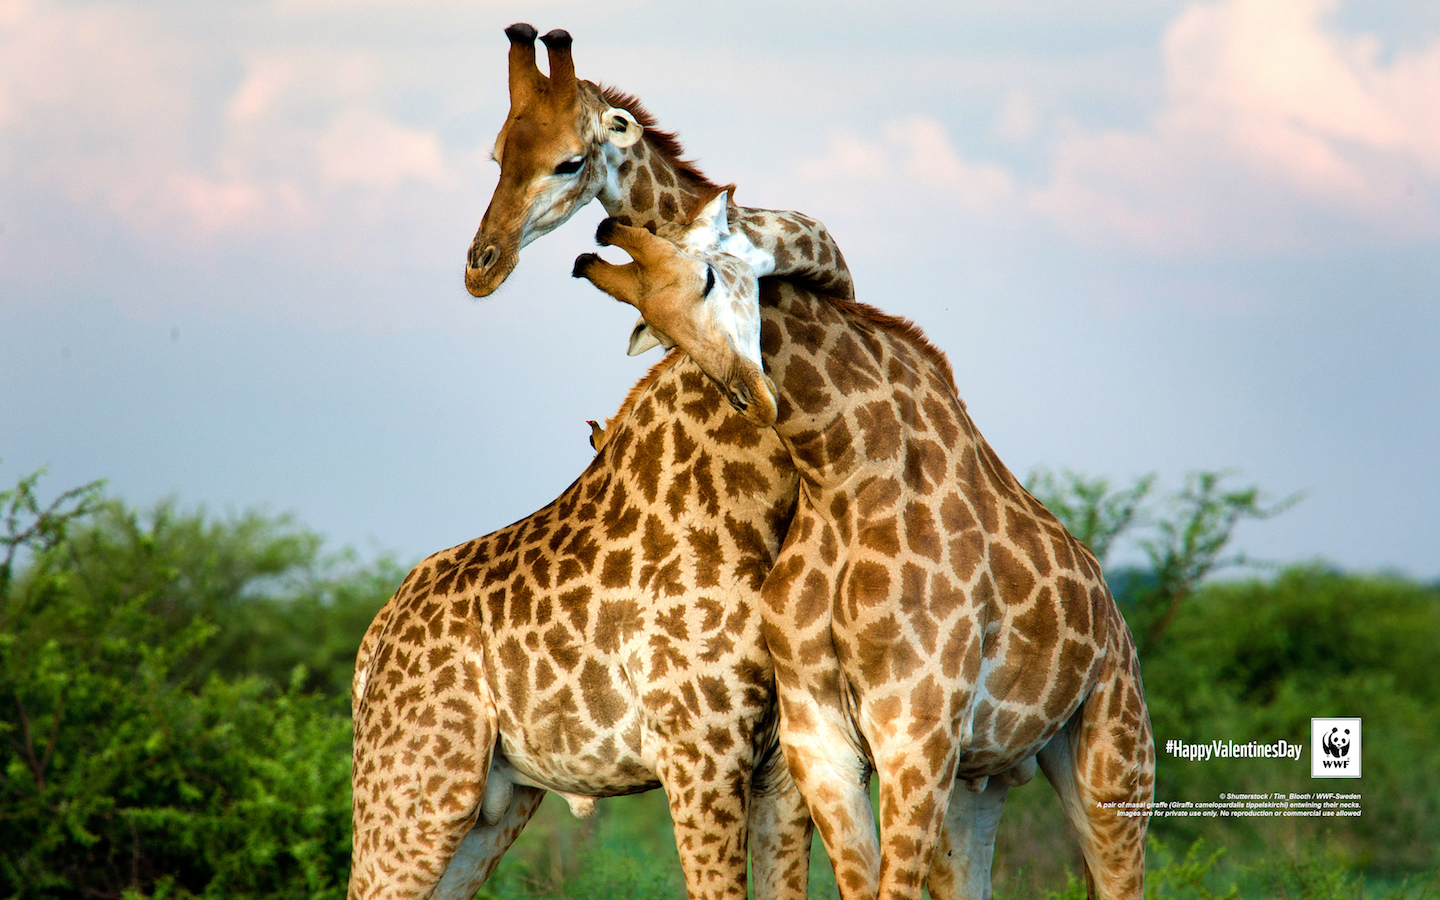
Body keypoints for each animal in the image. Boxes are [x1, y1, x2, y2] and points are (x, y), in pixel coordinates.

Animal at [572, 194, 1157, 900]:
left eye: (709, 279)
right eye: (660, 331)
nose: (751, 395)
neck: (842, 478)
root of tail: (1115, 617)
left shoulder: (916, 733)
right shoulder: (819, 740)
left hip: (1115, 756)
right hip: (981, 779)